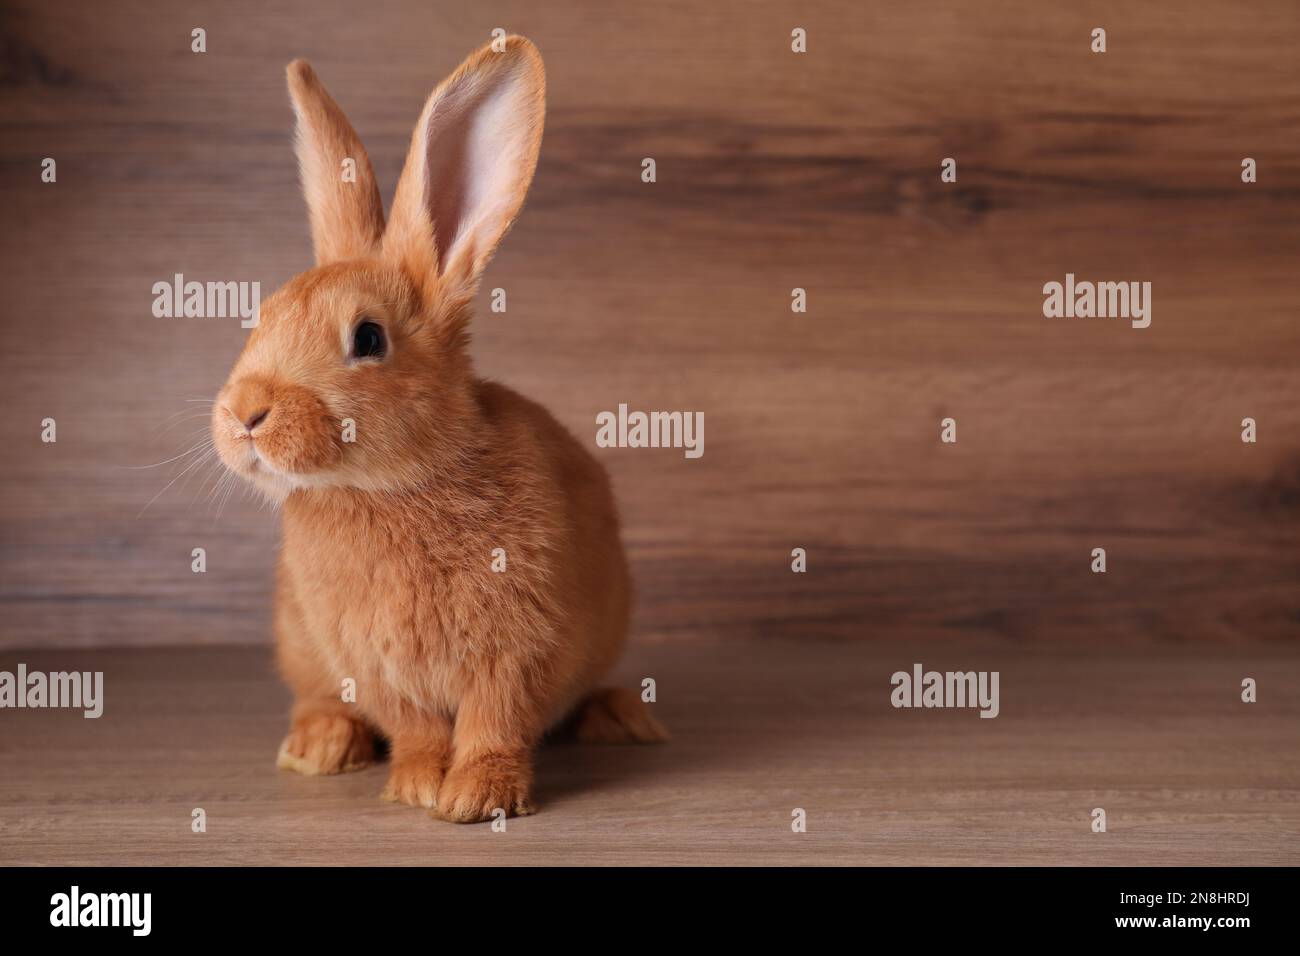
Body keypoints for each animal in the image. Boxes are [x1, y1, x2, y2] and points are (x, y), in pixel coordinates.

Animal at [210, 36, 666, 823]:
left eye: (368, 338)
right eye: (263, 316)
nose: (245, 414)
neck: (390, 484)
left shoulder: (518, 652)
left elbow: (494, 723)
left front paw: (477, 797)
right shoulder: (375, 664)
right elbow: (416, 726)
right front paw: (420, 785)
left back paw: (623, 718)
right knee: (319, 700)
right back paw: (317, 747)